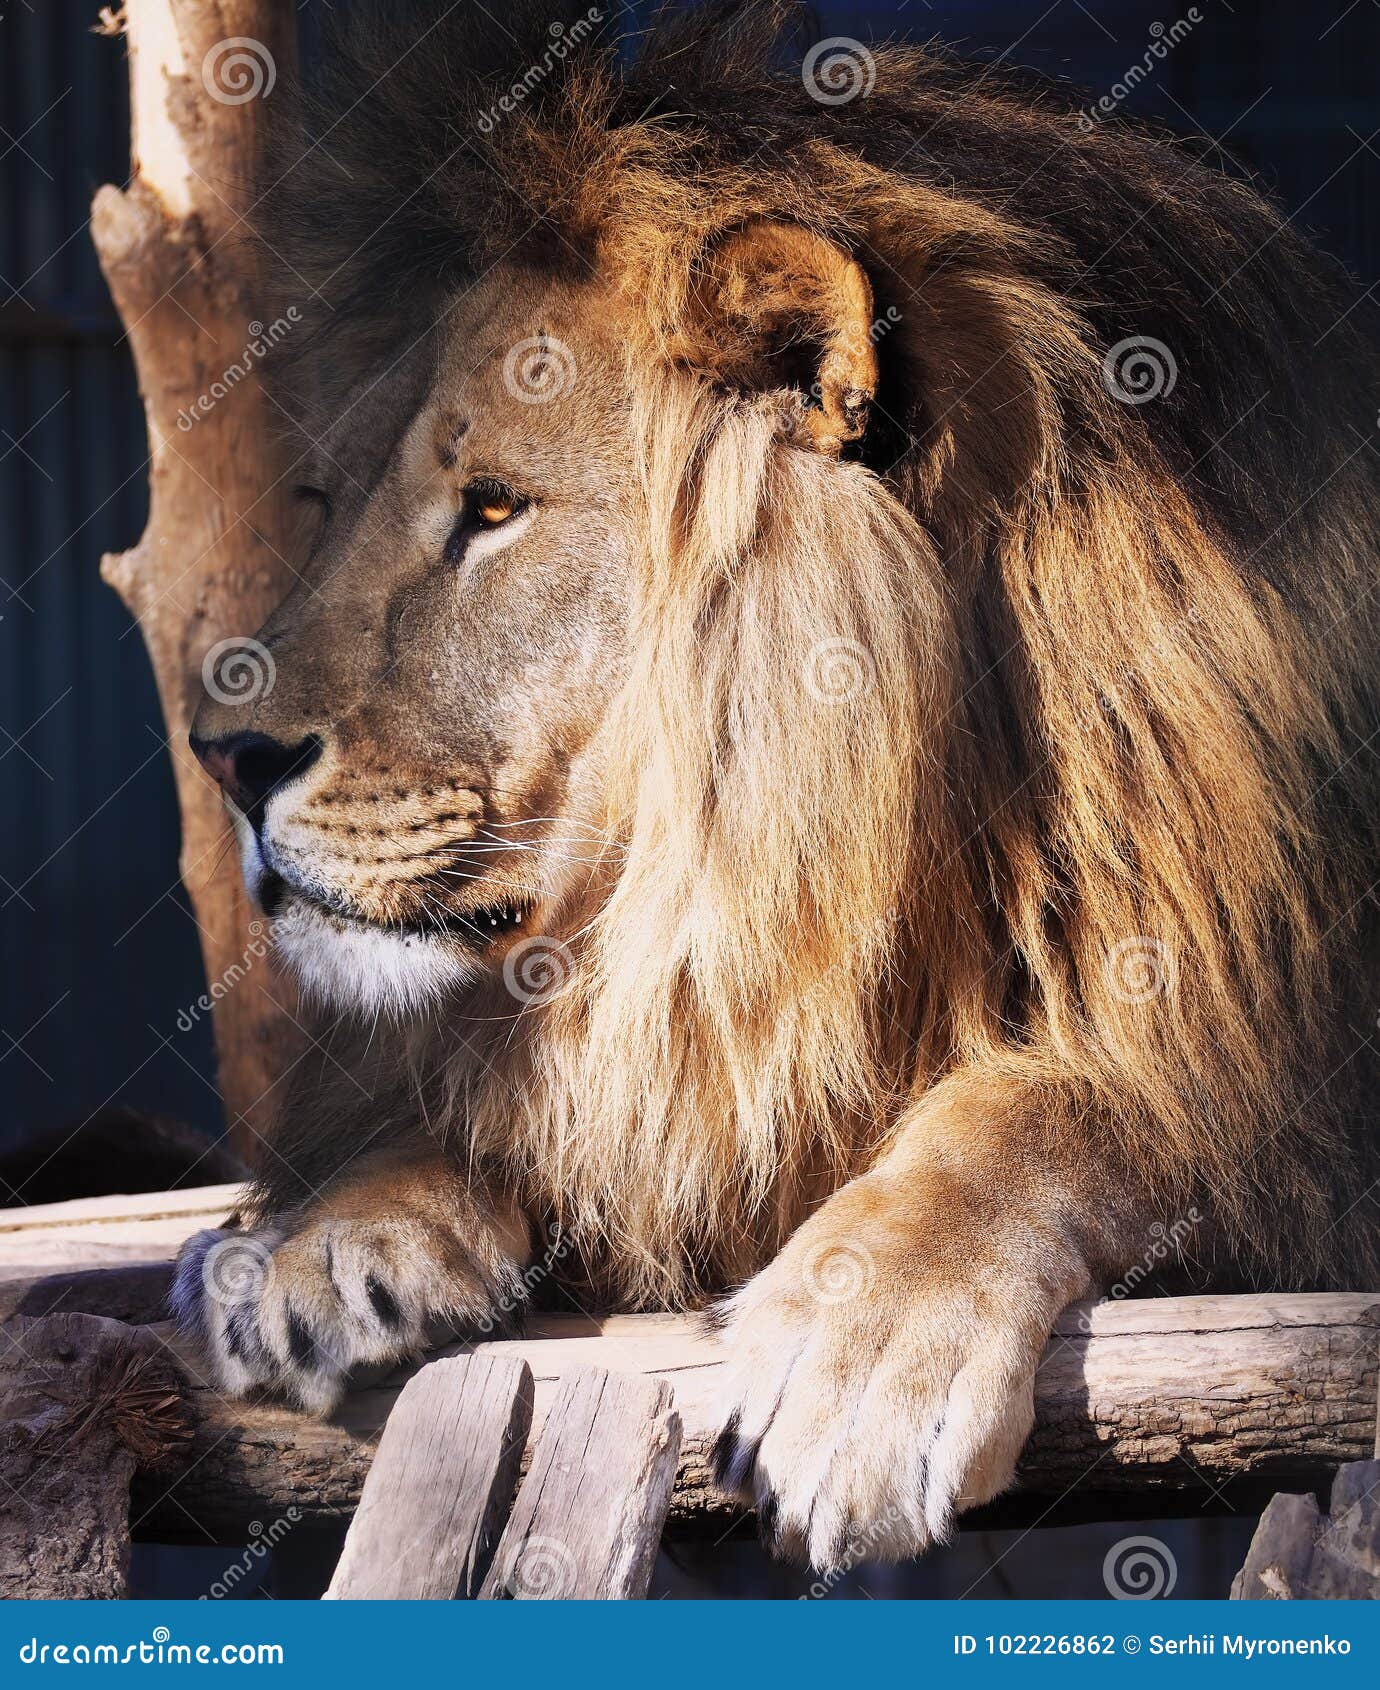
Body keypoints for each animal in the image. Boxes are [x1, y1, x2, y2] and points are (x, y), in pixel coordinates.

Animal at [172, 1, 1380, 1569]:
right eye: (329, 503)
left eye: (494, 508)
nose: (223, 752)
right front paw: (313, 1239)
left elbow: (1078, 1097)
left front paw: (862, 1339)